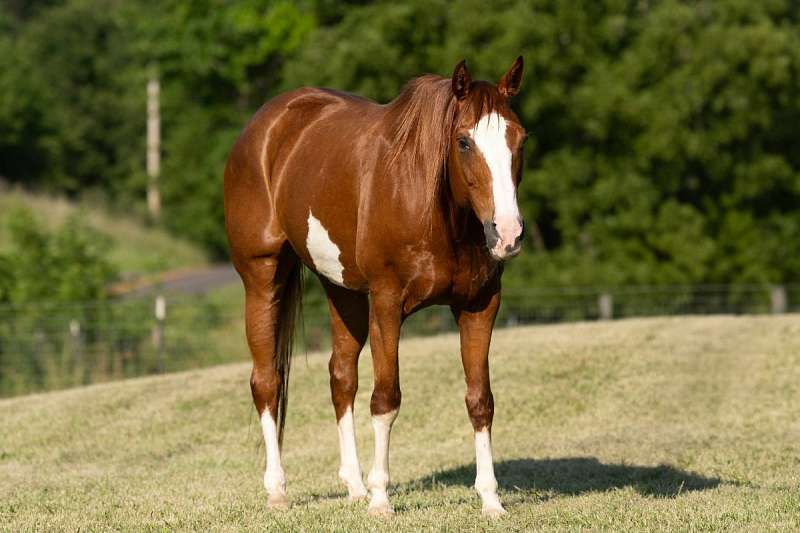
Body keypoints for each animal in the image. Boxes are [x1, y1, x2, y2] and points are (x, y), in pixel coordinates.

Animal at [224, 56, 526, 517]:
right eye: (463, 142)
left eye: (519, 139)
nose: (506, 233)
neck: (431, 207)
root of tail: (264, 126)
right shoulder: (386, 304)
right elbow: (386, 399)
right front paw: (382, 498)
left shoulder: (479, 306)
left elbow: (480, 401)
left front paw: (490, 500)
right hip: (261, 277)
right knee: (267, 382)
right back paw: (278, 490)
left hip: (343, 290)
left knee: (341, 377)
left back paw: (353, 484)